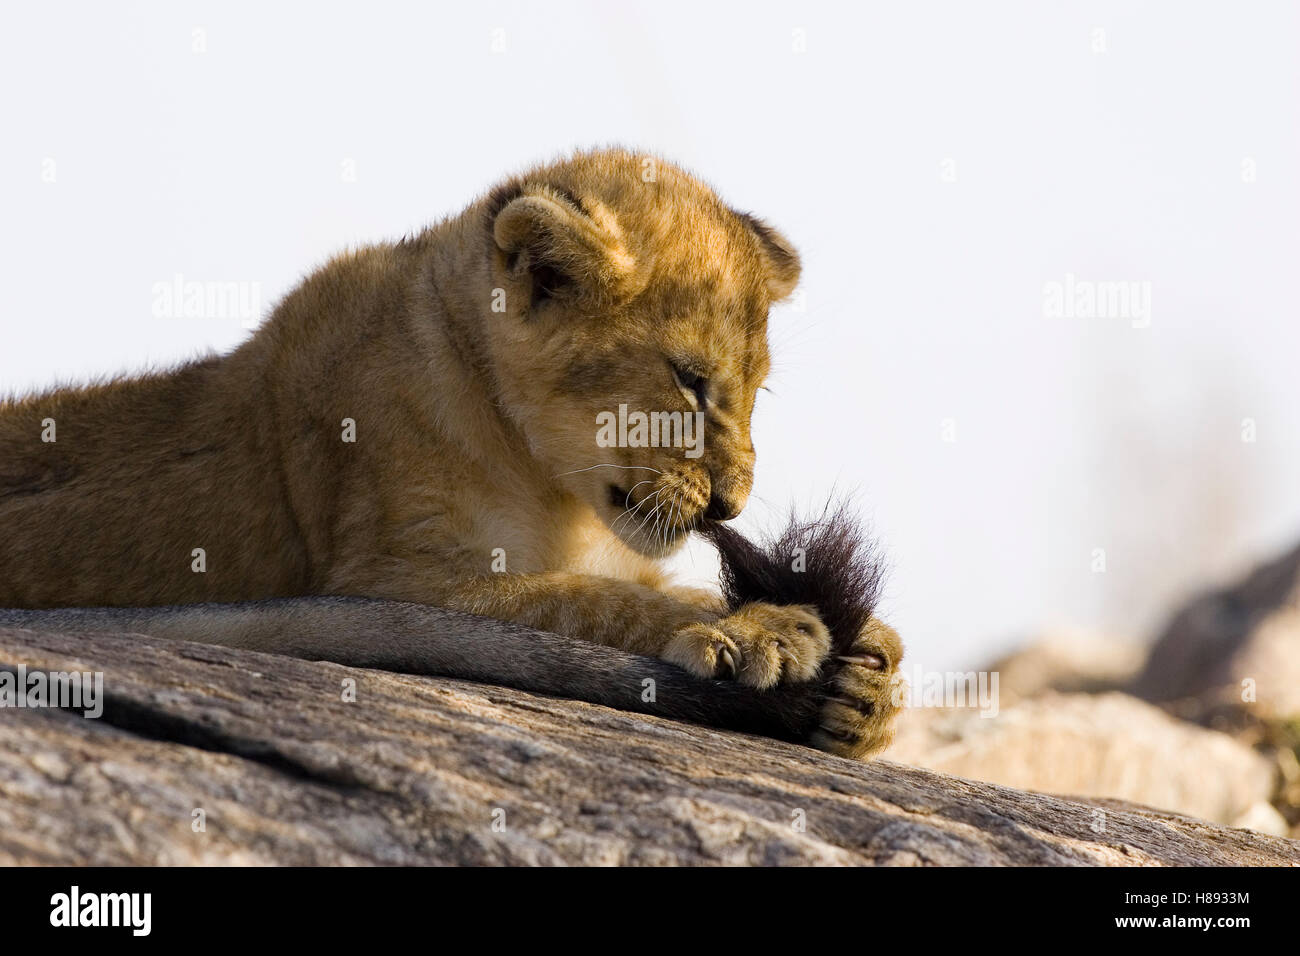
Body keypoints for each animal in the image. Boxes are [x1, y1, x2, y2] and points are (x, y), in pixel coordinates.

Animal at [0, 148, 902, 759]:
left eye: (757, 391)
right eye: (689, 381)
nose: (732, 506)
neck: (549, 486)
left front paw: (872, 682)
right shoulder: (394, 578)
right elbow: (583, 602)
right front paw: (767, 630)